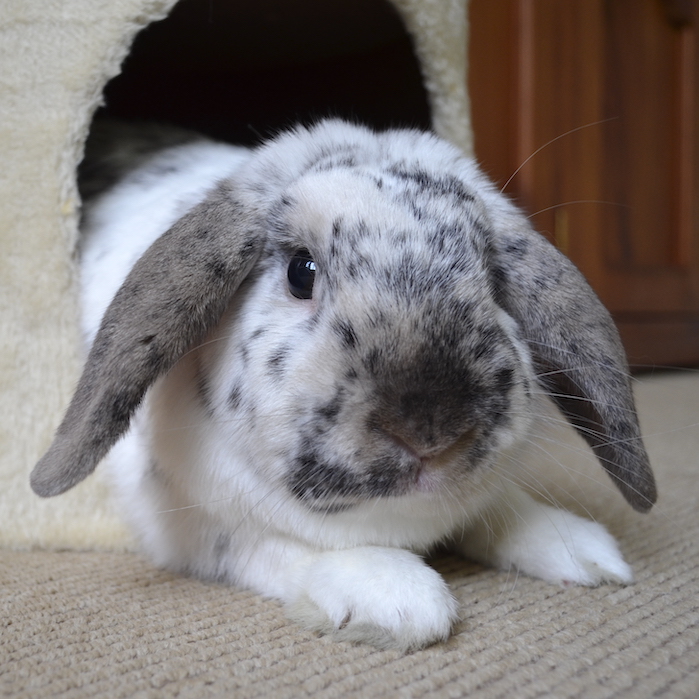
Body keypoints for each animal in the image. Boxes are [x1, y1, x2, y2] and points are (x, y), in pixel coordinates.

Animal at [31, 118, 657, 651]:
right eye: (300, 272)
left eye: (493, 280)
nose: (431, 433)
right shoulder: (191, 530)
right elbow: (267, 546)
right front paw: (398, 600)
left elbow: (504, 510)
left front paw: (584, 552)